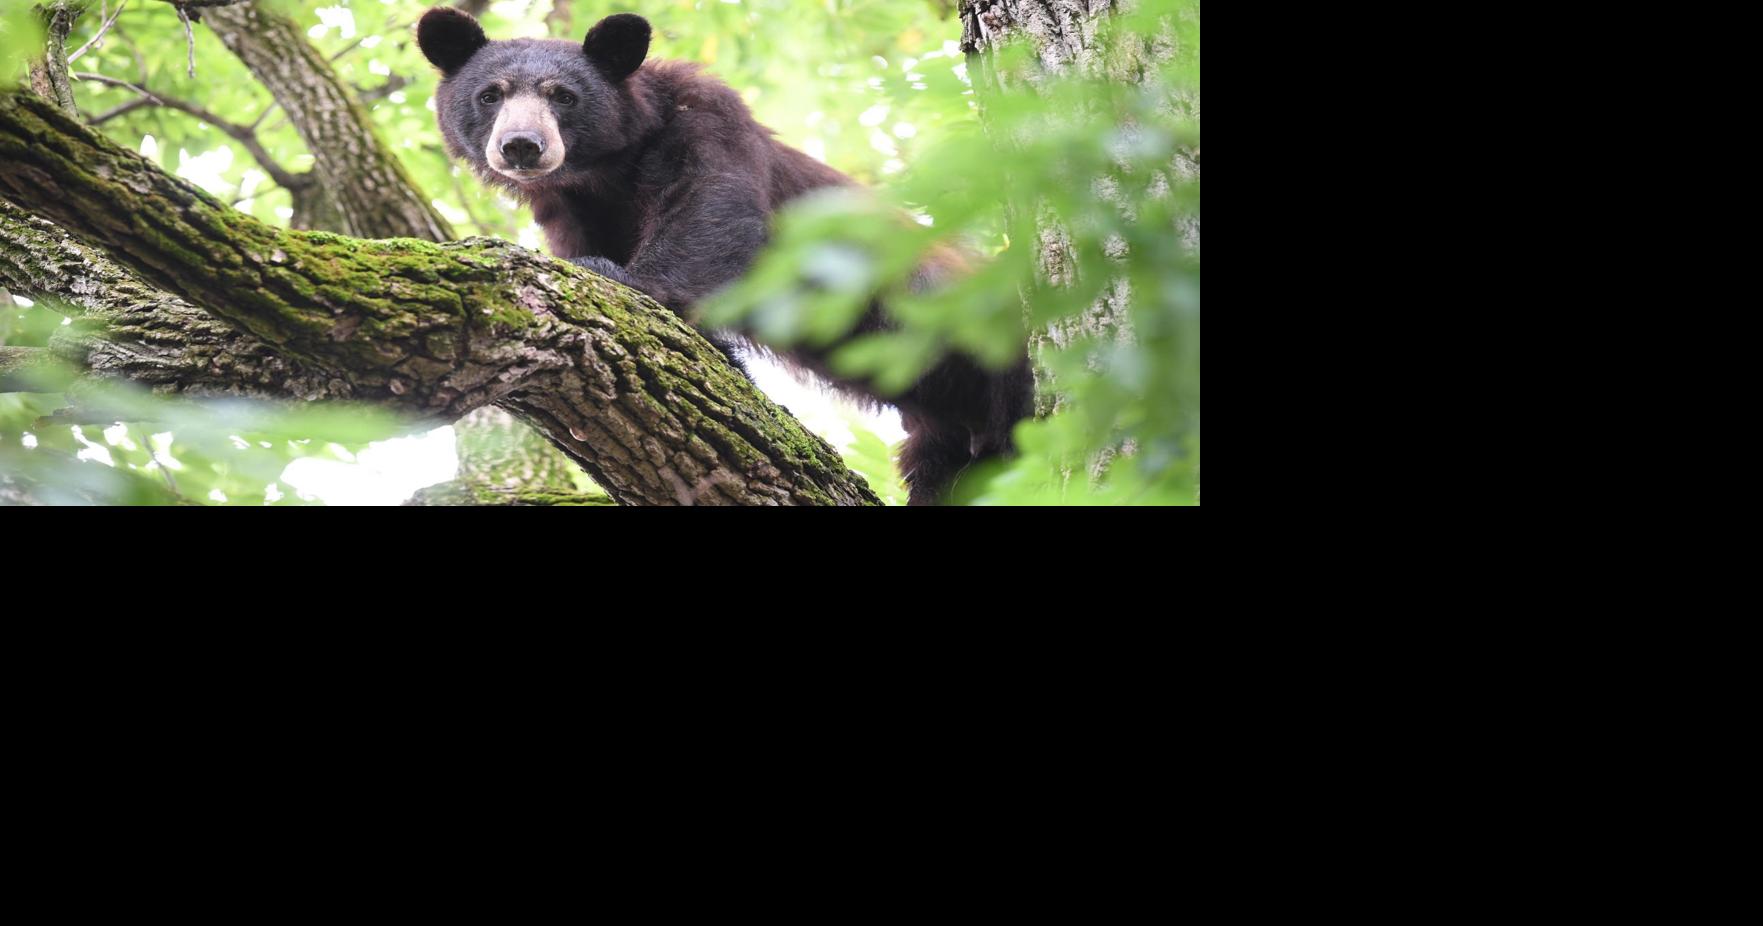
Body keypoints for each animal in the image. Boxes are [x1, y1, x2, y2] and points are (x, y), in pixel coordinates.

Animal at [416, 7, 1033, 504]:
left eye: (563, 96)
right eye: (490, 94)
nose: (521, 146)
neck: (605, 173)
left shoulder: (706, 118)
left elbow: (708, 209)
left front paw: (623, 279)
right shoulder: (572, 212)